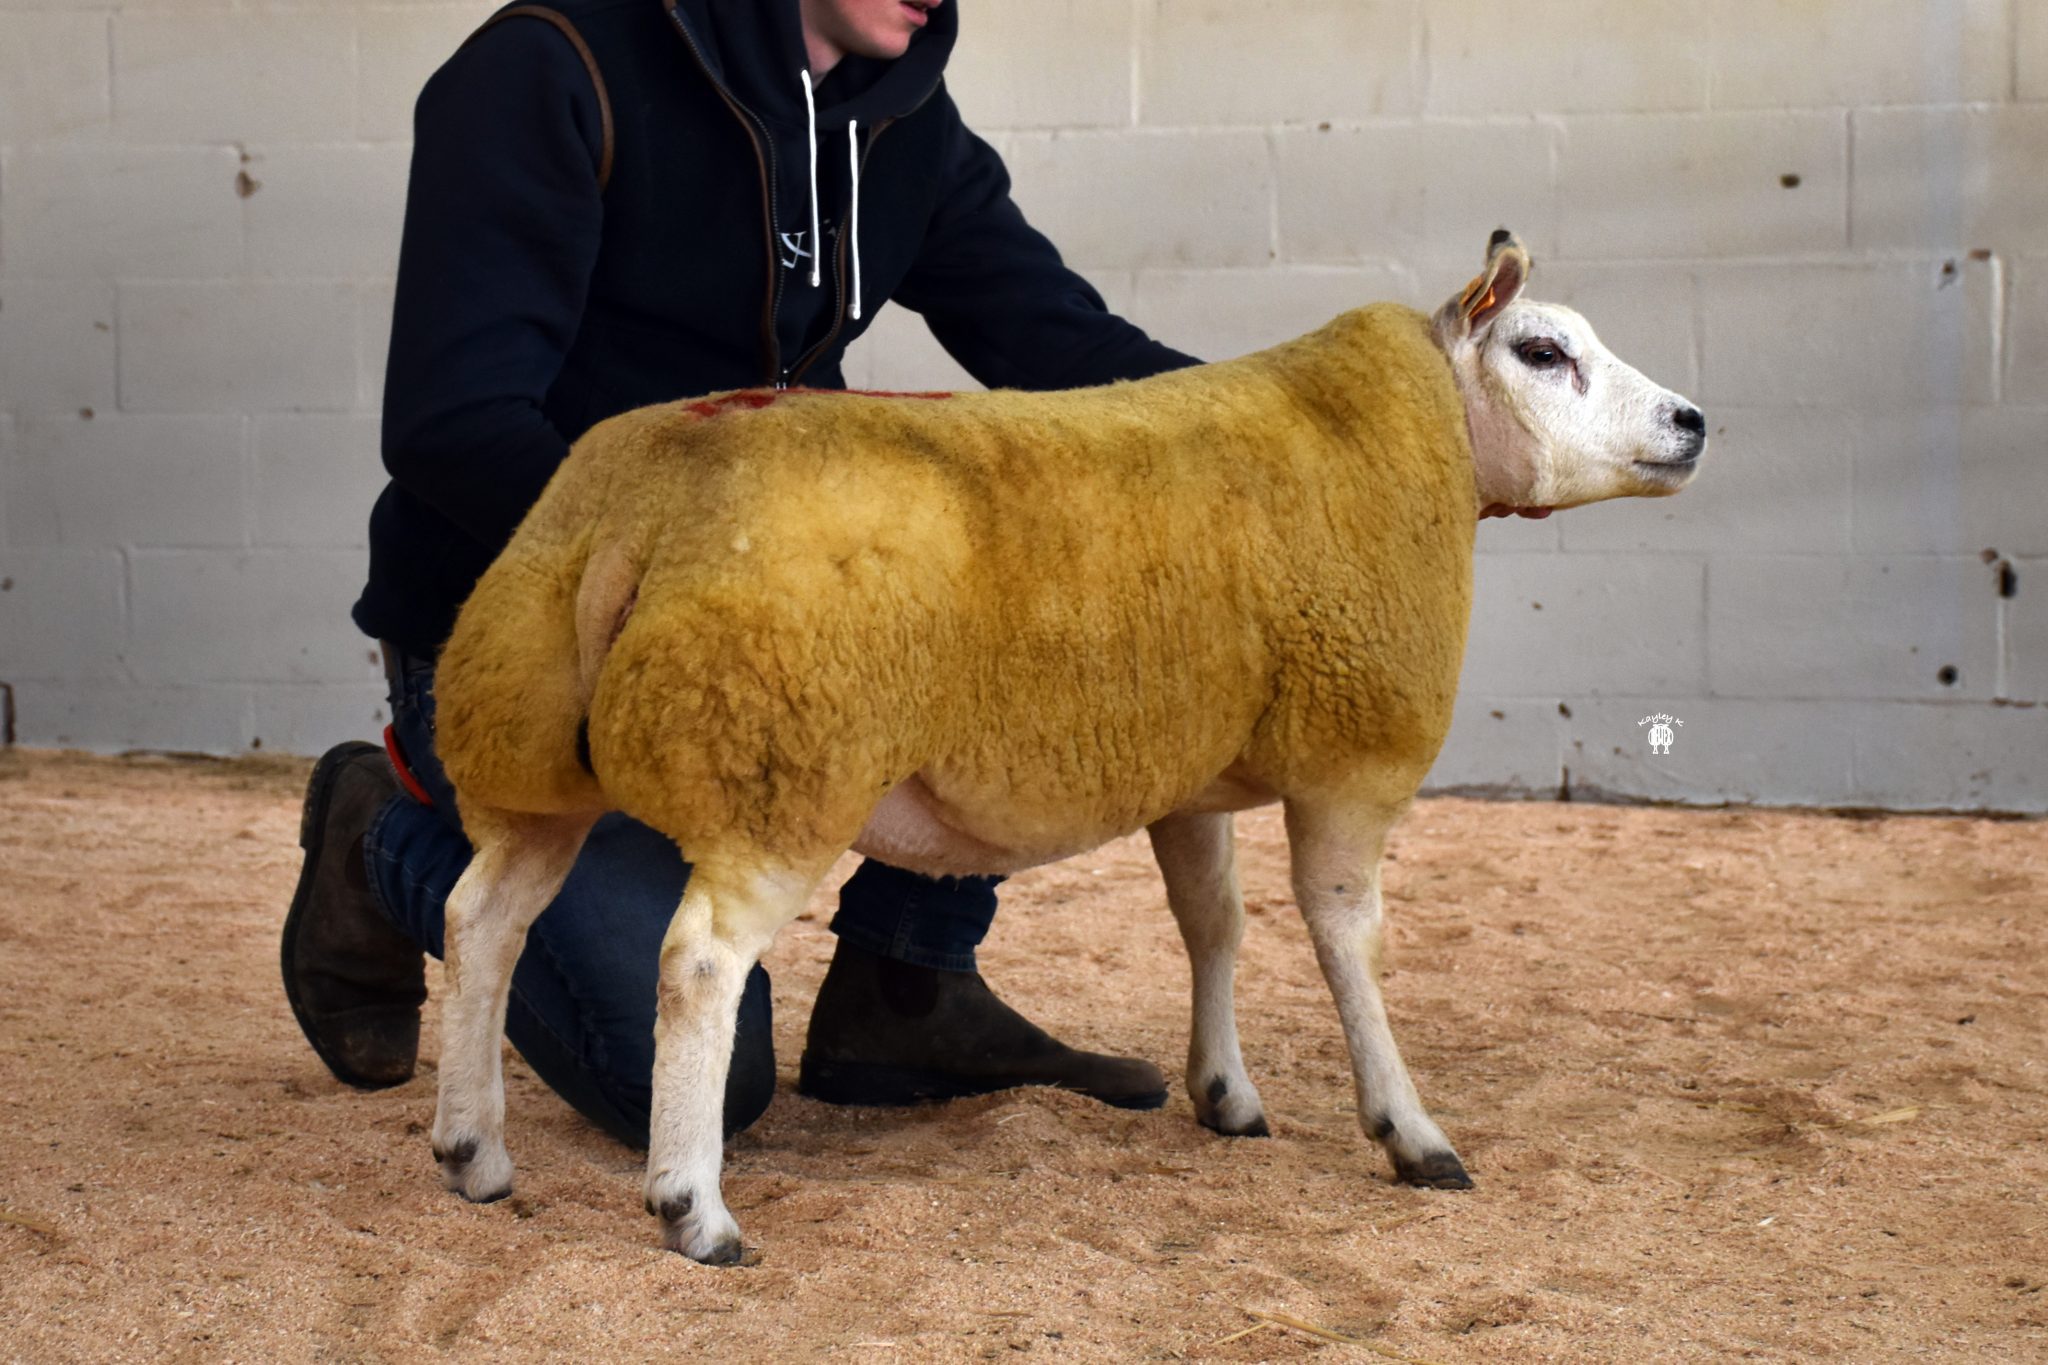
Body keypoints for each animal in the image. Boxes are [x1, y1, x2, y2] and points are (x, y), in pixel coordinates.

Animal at [425, 230, 1707, 1263]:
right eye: (1540, 351)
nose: (1691, 423)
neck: (1410, 440)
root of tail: (641, 505)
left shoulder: (1192, 775)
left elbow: (1212, 924)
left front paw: (1224, 1093)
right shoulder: (1354, 759)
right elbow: (1348, 942)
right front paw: (1410, 1131)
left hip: (523, 748)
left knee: (480, 920)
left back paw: (471, 1149)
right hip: (781, 769)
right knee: (694, 964)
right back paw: (693, 1209)